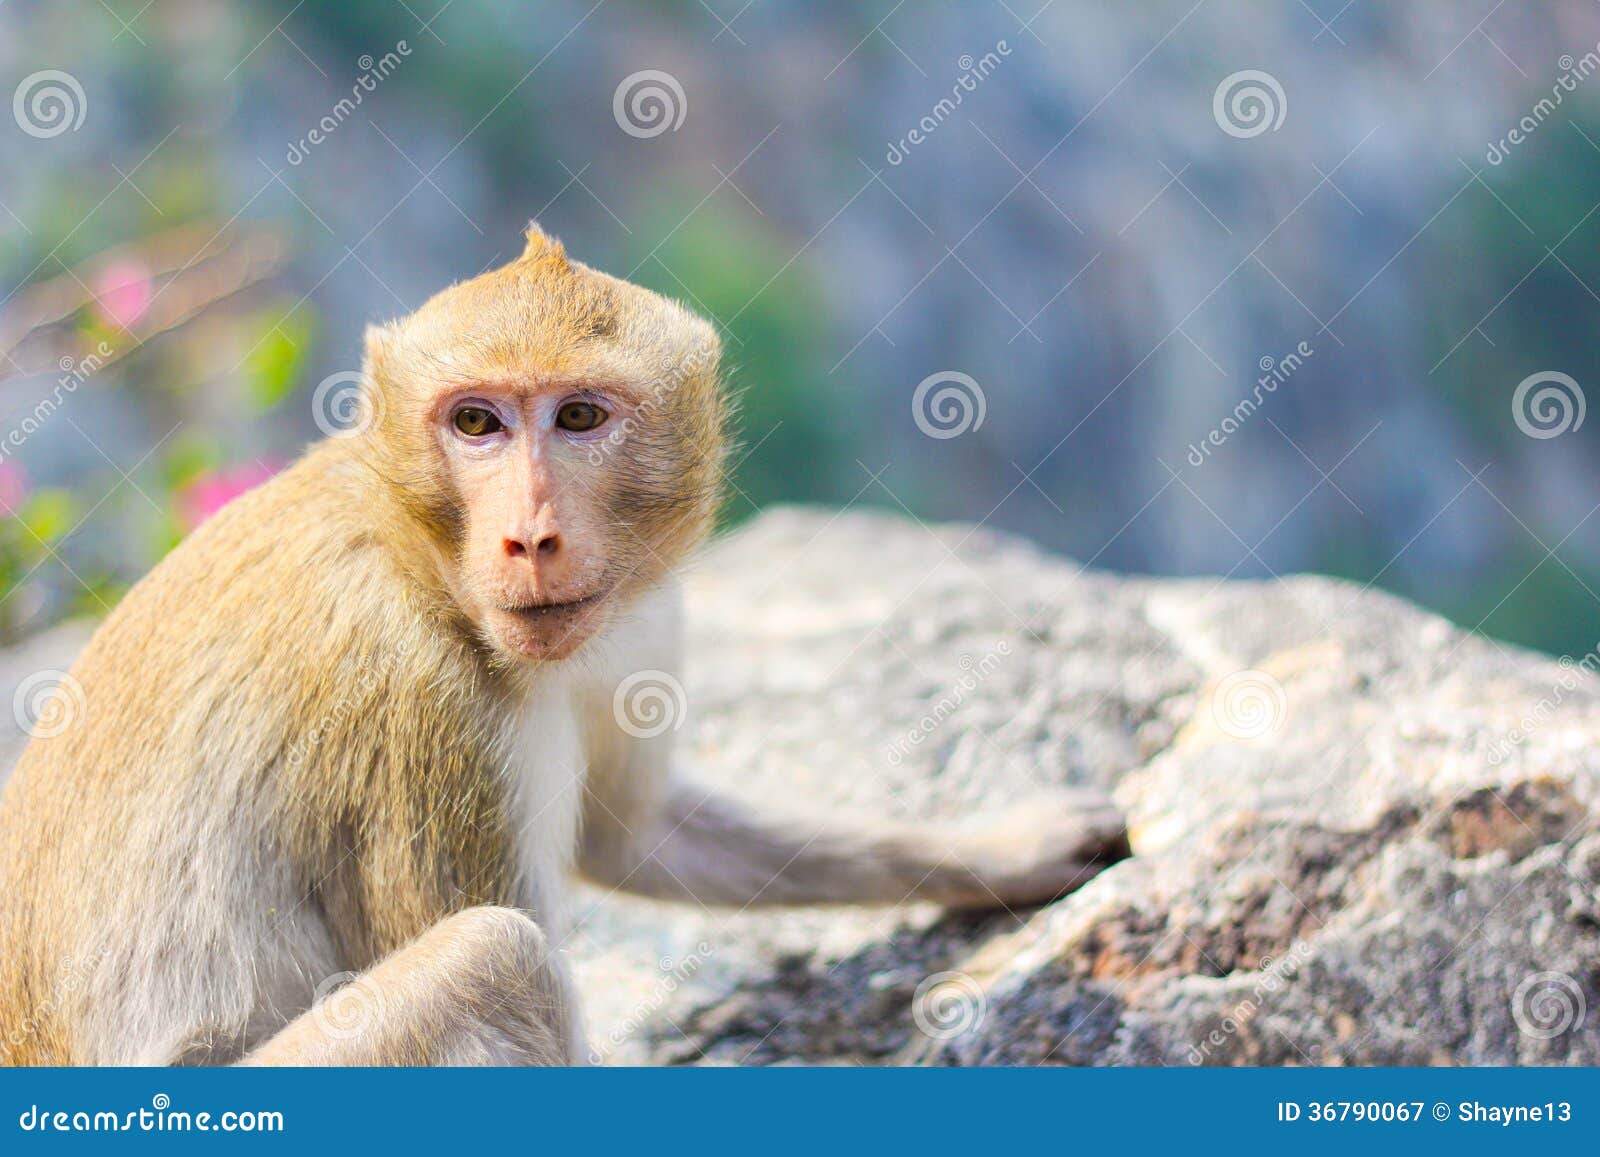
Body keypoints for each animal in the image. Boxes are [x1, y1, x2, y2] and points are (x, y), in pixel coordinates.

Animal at [0, 225, 1127, 1066]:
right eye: (477, 424)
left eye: (579, 415)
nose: (529, 535)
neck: (422, 560)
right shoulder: (422, 708)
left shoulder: (641, 610)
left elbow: (635, 833)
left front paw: (1007, 845)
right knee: (499, 958)